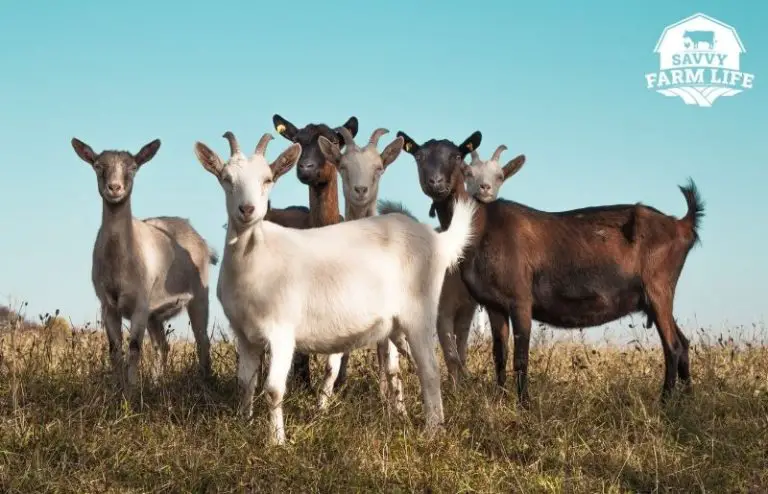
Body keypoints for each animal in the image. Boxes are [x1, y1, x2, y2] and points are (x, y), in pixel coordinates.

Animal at [71, 137, 218, 396]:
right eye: (98, 166)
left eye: (133, 167)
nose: (115, 188)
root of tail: (201, 240)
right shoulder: (108, 305)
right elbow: (114, 350)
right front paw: (116, 390)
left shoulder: (139, 304)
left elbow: (134, 347)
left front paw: (130, 393)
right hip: (155, 314)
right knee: (163, 346)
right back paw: (158, 384)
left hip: (199, 296)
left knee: (202, 341)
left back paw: (203, 383)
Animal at [397, 130, 515, 388]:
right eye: (419, 156)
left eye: (457, 155)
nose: (436, 182)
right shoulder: (442, 309)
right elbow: (451, 354)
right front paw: (455, 389)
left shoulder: (466, 310)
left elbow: (460, 352)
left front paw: (461, 385)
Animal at [457, 151, 705, 406]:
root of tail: (682, 224)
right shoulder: (494, 305)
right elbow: (500, 355)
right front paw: (498, 400)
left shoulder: (520, 301)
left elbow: (520, 356)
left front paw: (524, 405)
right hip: (653, 299)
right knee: (684, 343)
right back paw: (688, 400)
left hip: (658, 290)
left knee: (673, 346)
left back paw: (665, 403)